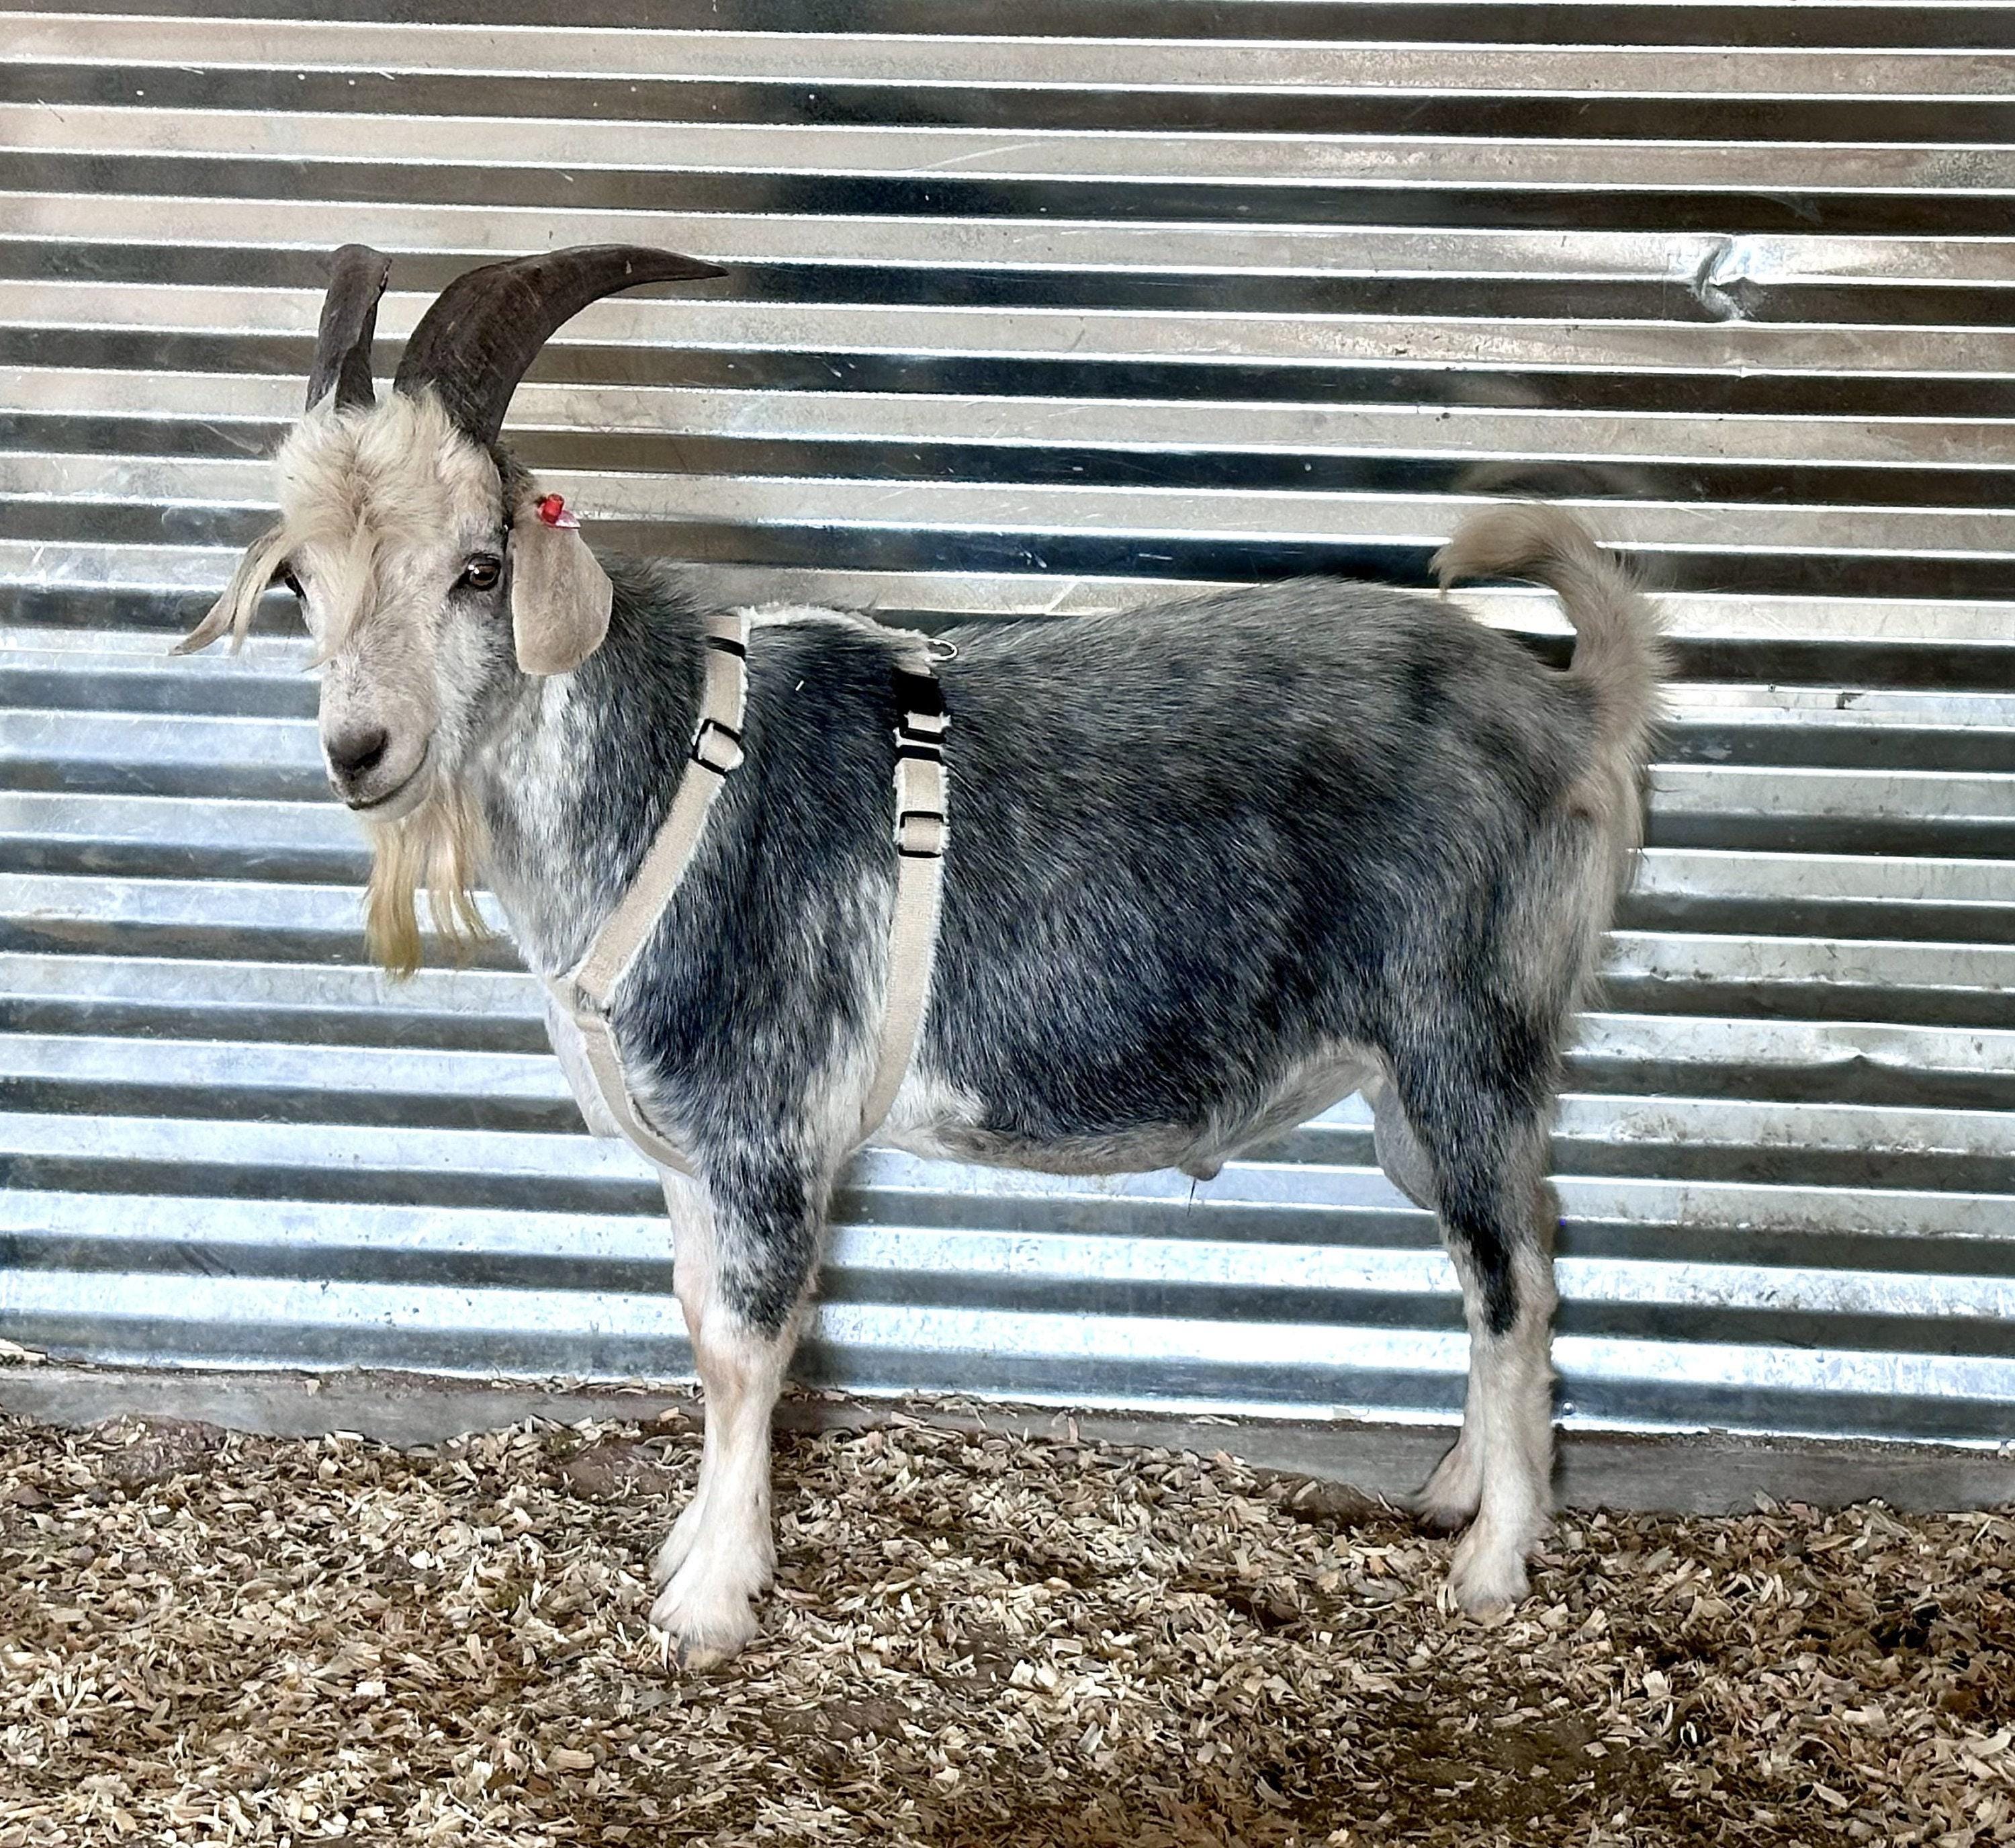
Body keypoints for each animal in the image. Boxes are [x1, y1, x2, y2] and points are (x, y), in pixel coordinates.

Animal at [182, 243, 1668, 1668]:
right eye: (302, 578)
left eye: (478, 569)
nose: (360, 752)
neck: (669, 769)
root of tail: (1567, 708)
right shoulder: (687, 1150)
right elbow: (694, 1329)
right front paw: (686, 1551)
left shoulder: (769, 1126)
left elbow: (745, 1352)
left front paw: (710, 1602)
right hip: (1414, 1087)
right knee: (1508, 1256)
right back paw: (1461, 1488)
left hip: (1464, 1034)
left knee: (1514, 1278)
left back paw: (1493, 1567)